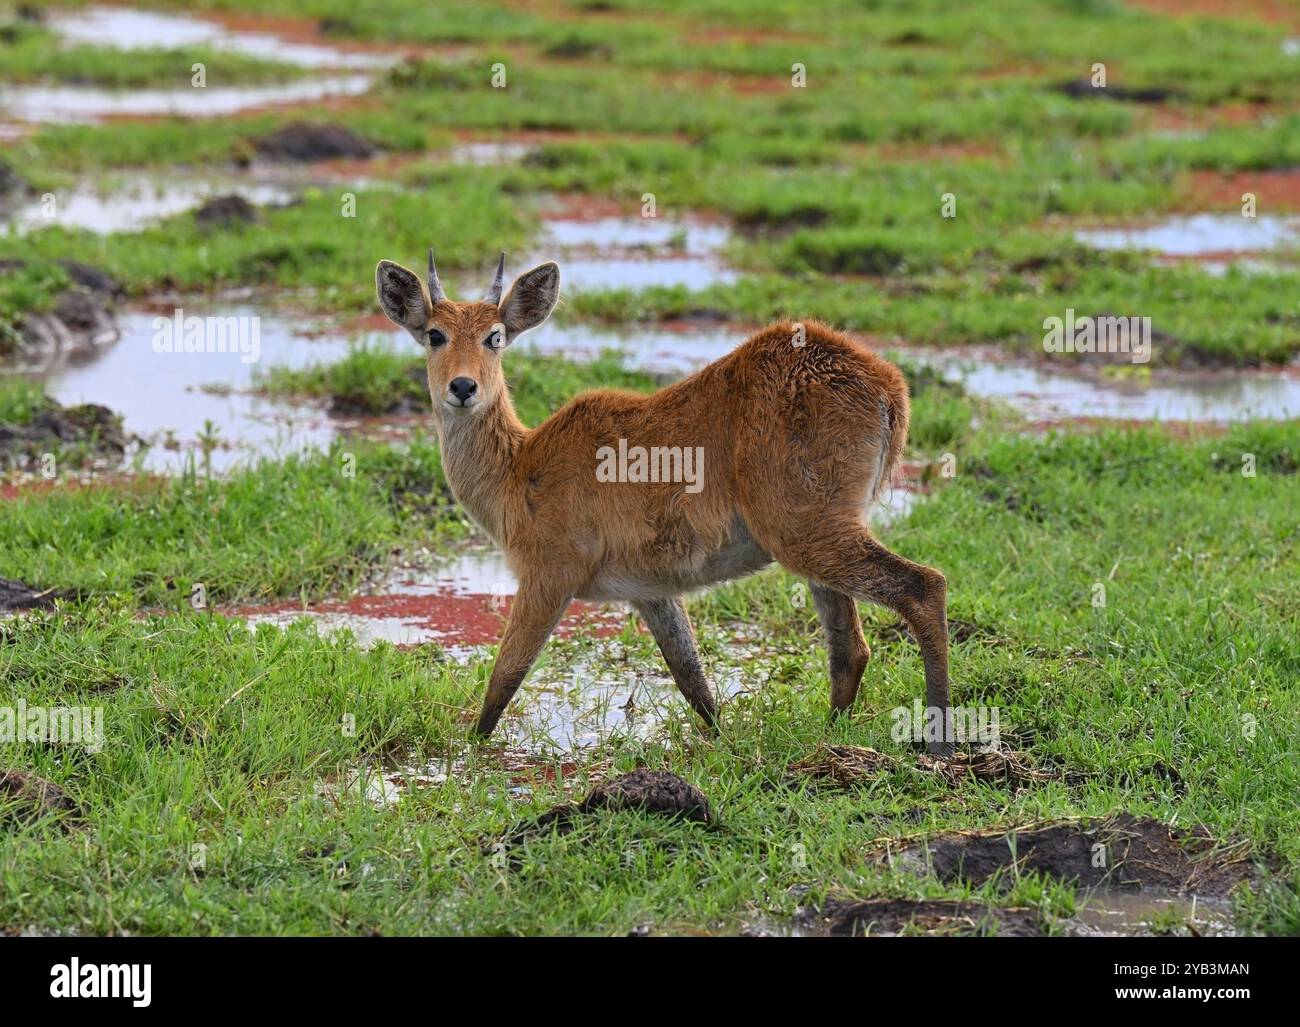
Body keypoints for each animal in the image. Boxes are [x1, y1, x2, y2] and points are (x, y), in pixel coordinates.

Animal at [375, 252, 953, 756]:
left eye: (494, 337)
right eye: (435, 334)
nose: (463, 386)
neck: (520, 466)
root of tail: (887, 385)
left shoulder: (548, 575)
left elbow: (504, 676)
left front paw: (467, 756)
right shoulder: (652, 592)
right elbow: (694, 681)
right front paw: (724, 743)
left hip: (806, 533)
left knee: (923, 586)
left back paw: (939, 746)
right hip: (817, 539)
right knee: (850, 646)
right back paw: (830, 739)